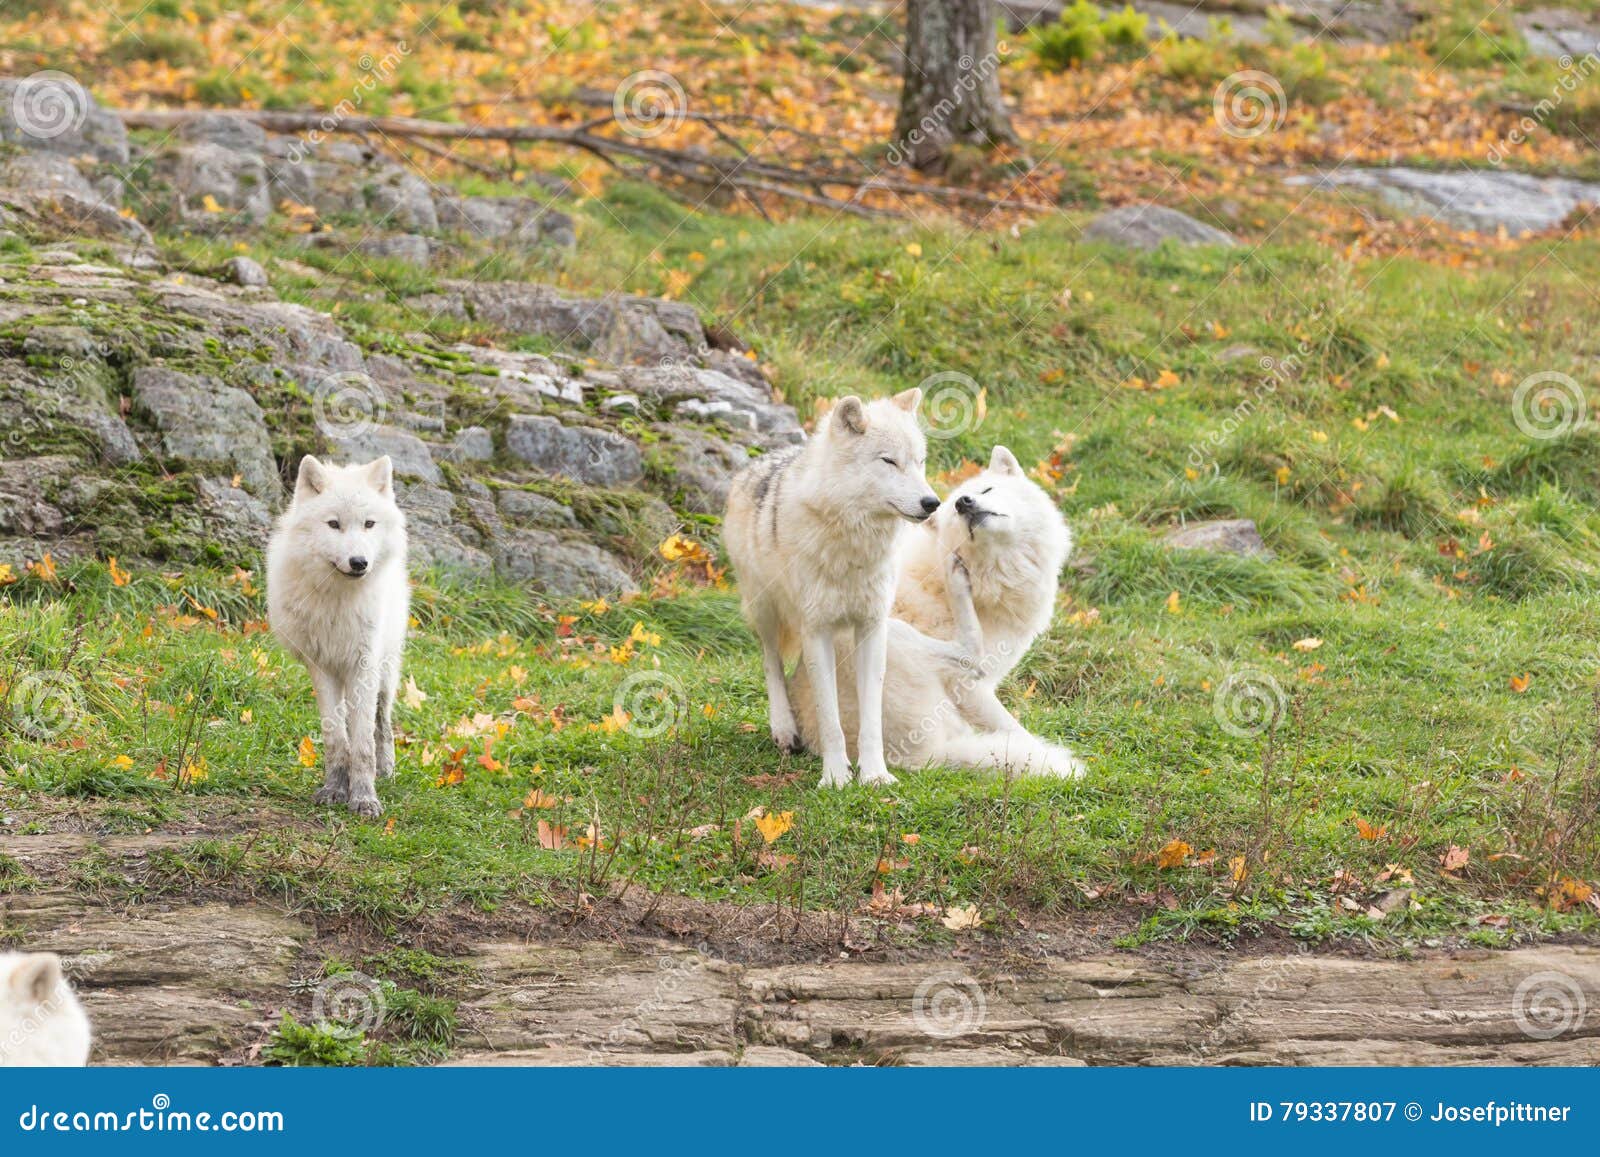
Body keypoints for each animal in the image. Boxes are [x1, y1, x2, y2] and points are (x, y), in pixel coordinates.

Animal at [266, 455, 410, 818]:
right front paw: (334, 789)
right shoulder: (321, 667)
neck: (337, 600)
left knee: (383, 723)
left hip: (385, 673)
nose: (359, 562)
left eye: (369, 524)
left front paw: (364, 797)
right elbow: (336, 737)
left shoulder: (363, 665)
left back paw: (386, 770)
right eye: (334, 524)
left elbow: (362, 743)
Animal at [723, 389, 940, 788]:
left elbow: (871, 716)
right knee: (771, 663)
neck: (853, 544)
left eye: (920, 462)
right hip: (764, 609)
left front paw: (874, 774)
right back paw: (784, 729)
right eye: (889, 461)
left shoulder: (871, 628)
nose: (932, 503)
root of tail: (762, 460)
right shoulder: (817, 630)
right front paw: (836, 776)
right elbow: (829, 718)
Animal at [789, 445, 1084, 777]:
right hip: (890, 635)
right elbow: (1013, 728)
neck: (992, 582)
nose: (963, 502)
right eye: (956, 513)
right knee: (967, 654)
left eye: (986, 490)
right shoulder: (971, 689)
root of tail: (924, 755)